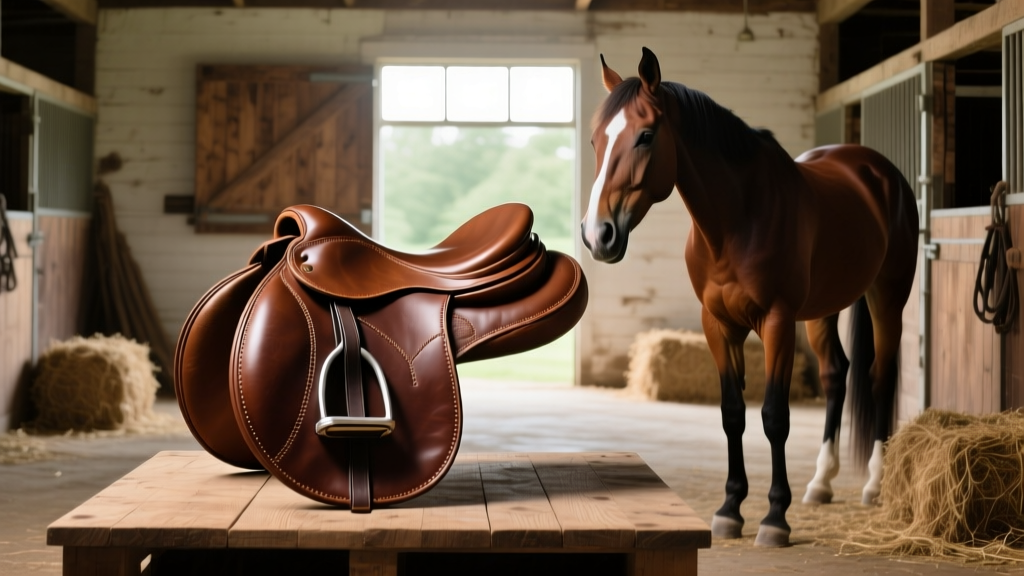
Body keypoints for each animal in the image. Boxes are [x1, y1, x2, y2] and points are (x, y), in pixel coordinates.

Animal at [581, 48, 919, 547]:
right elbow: (732, 414)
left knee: (879, 377)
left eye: (645, 136)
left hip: (887, 297)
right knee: (836, 374)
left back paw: (875, 484)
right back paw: (821, 483)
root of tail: (877, 169)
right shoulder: (718, 325)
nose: (597, 235)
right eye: (595, 141)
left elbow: (774, 416)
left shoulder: (776, 322)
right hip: (821, 311)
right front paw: (730, 509)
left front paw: (775, 518)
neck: (738, 220)